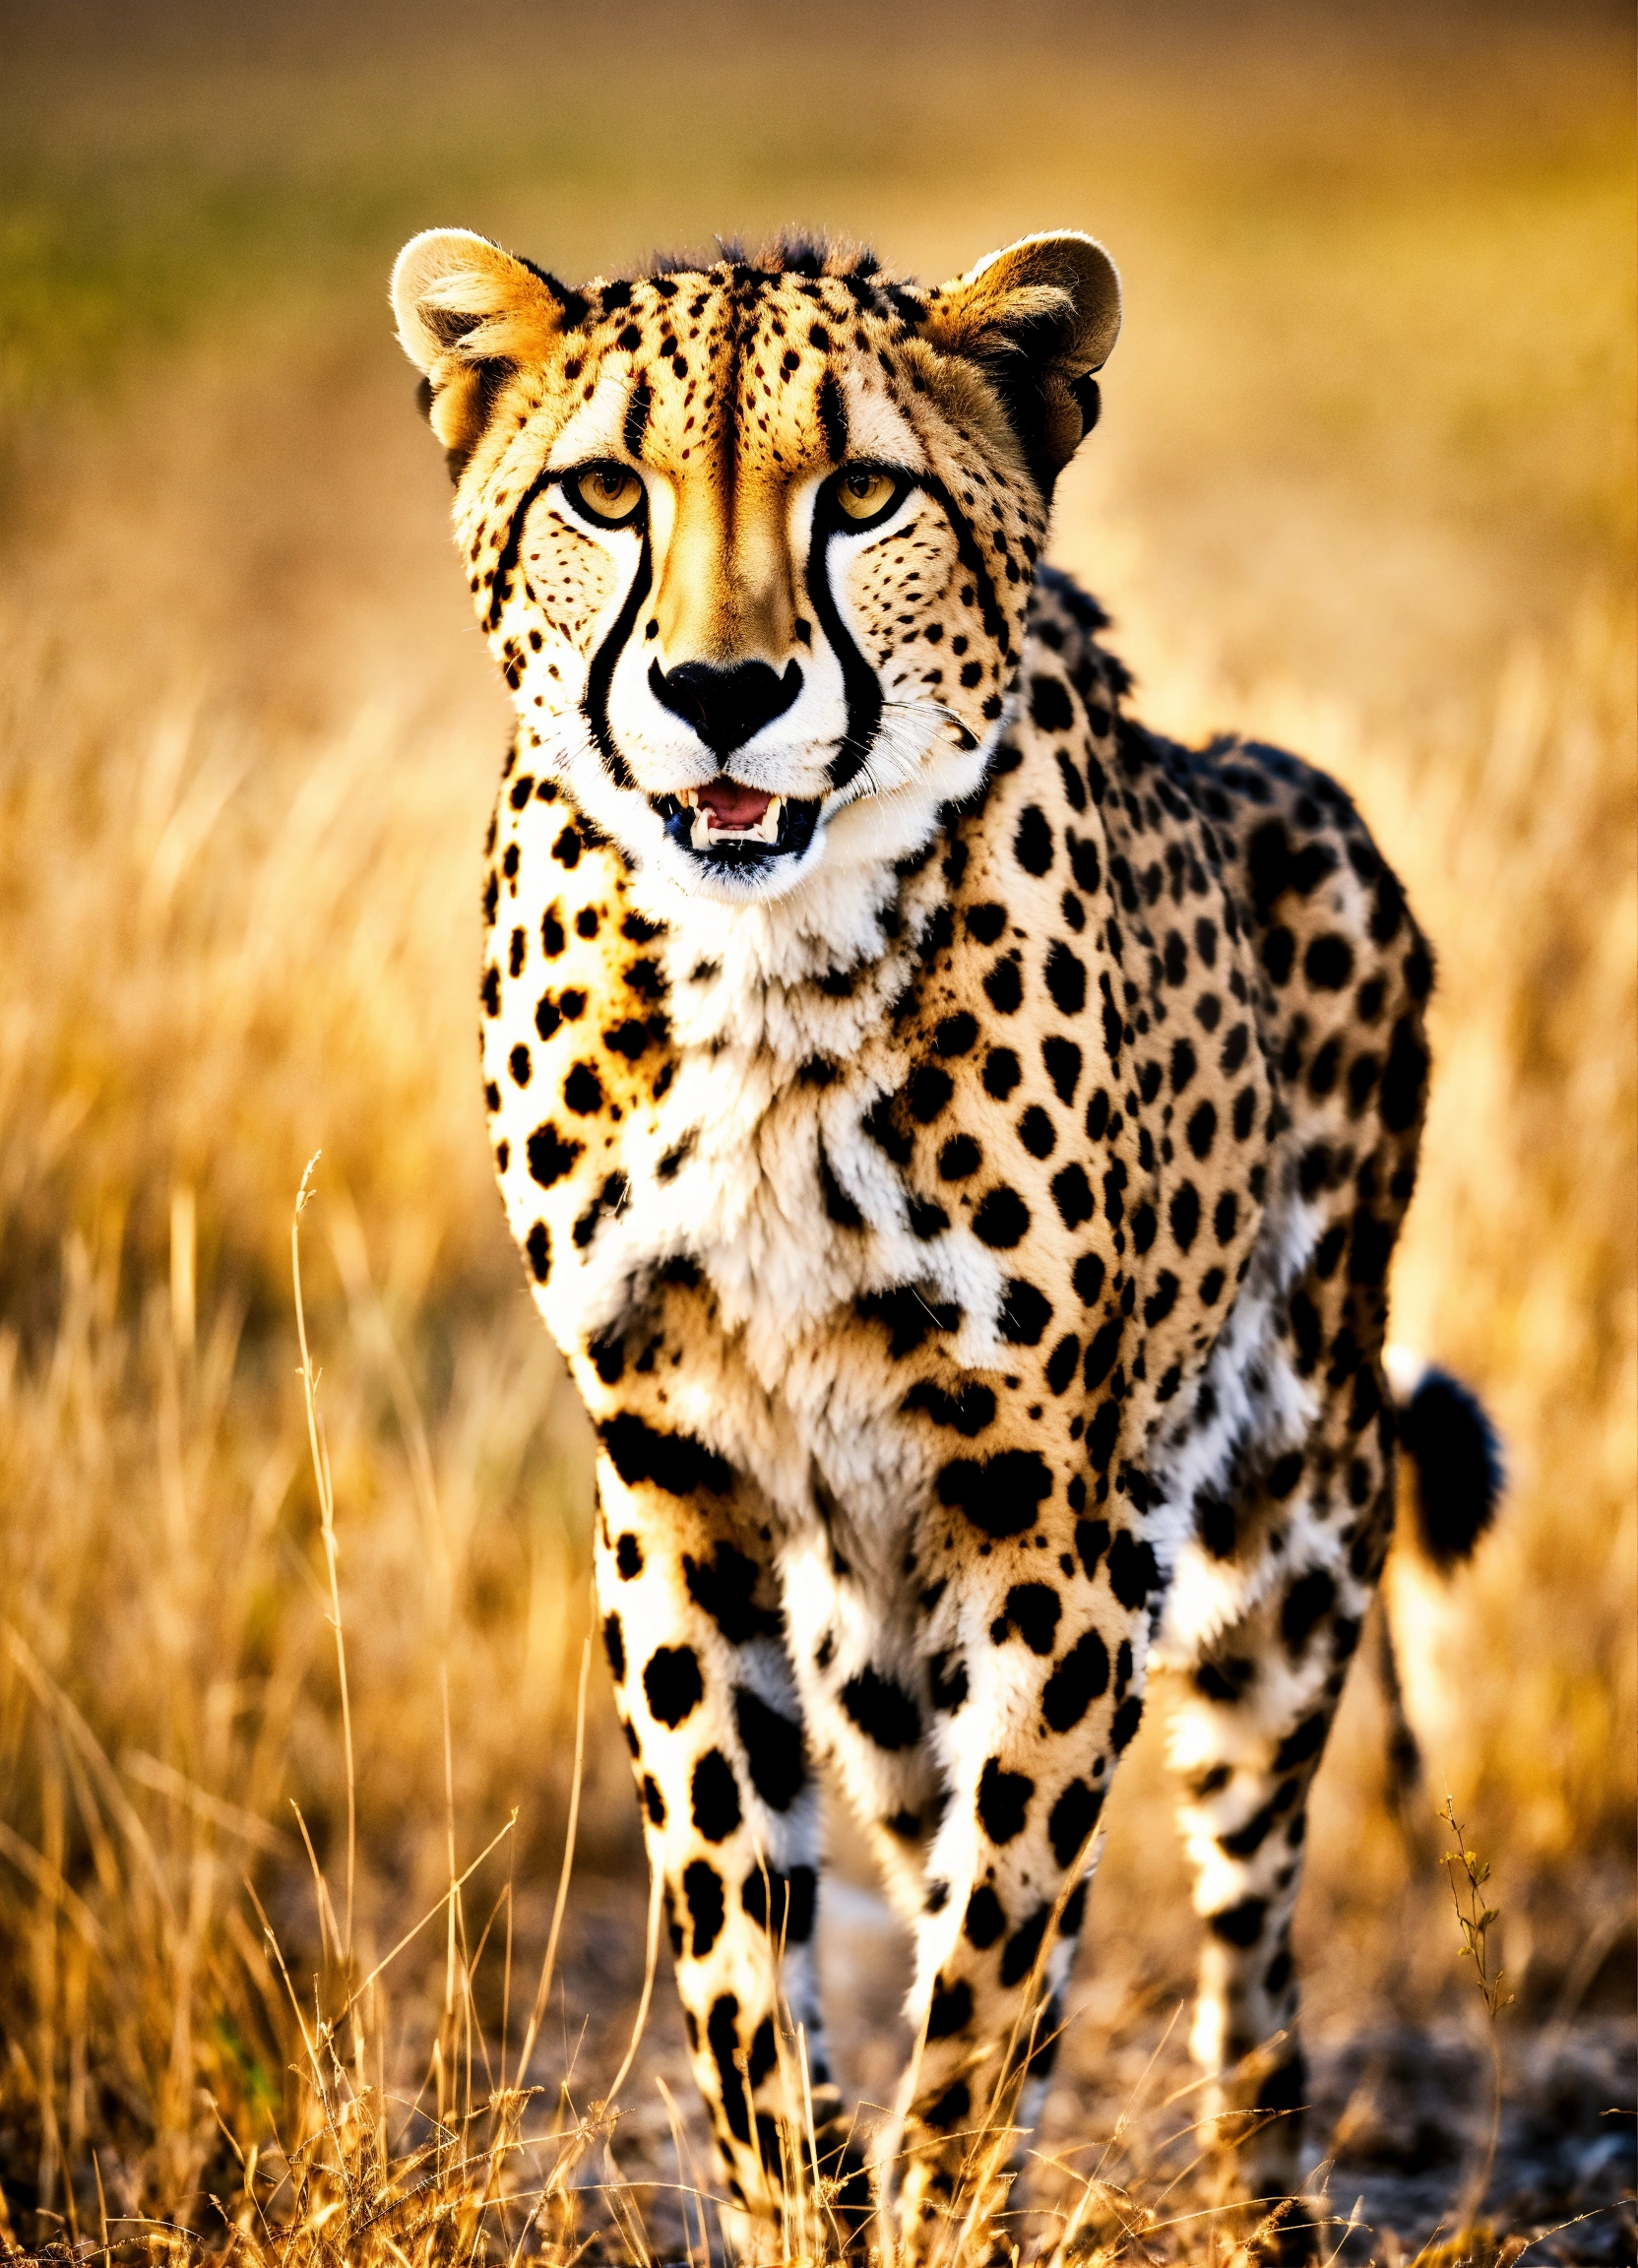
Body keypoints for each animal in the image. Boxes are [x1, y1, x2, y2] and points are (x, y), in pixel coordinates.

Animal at [389, 223, 1500, 2260]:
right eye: (604, 491)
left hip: (1280, 1535)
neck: (761, 962)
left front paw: (934, 2203)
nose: (720, 690)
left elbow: (991, 1977)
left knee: (1235, 1932)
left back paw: (1258, 2188)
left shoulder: (1053, 1531)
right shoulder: (674, 1494)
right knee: (933, 1841)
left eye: (861, 495)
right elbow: (744, 1949)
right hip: (874, 1639)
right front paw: (802, 2195)